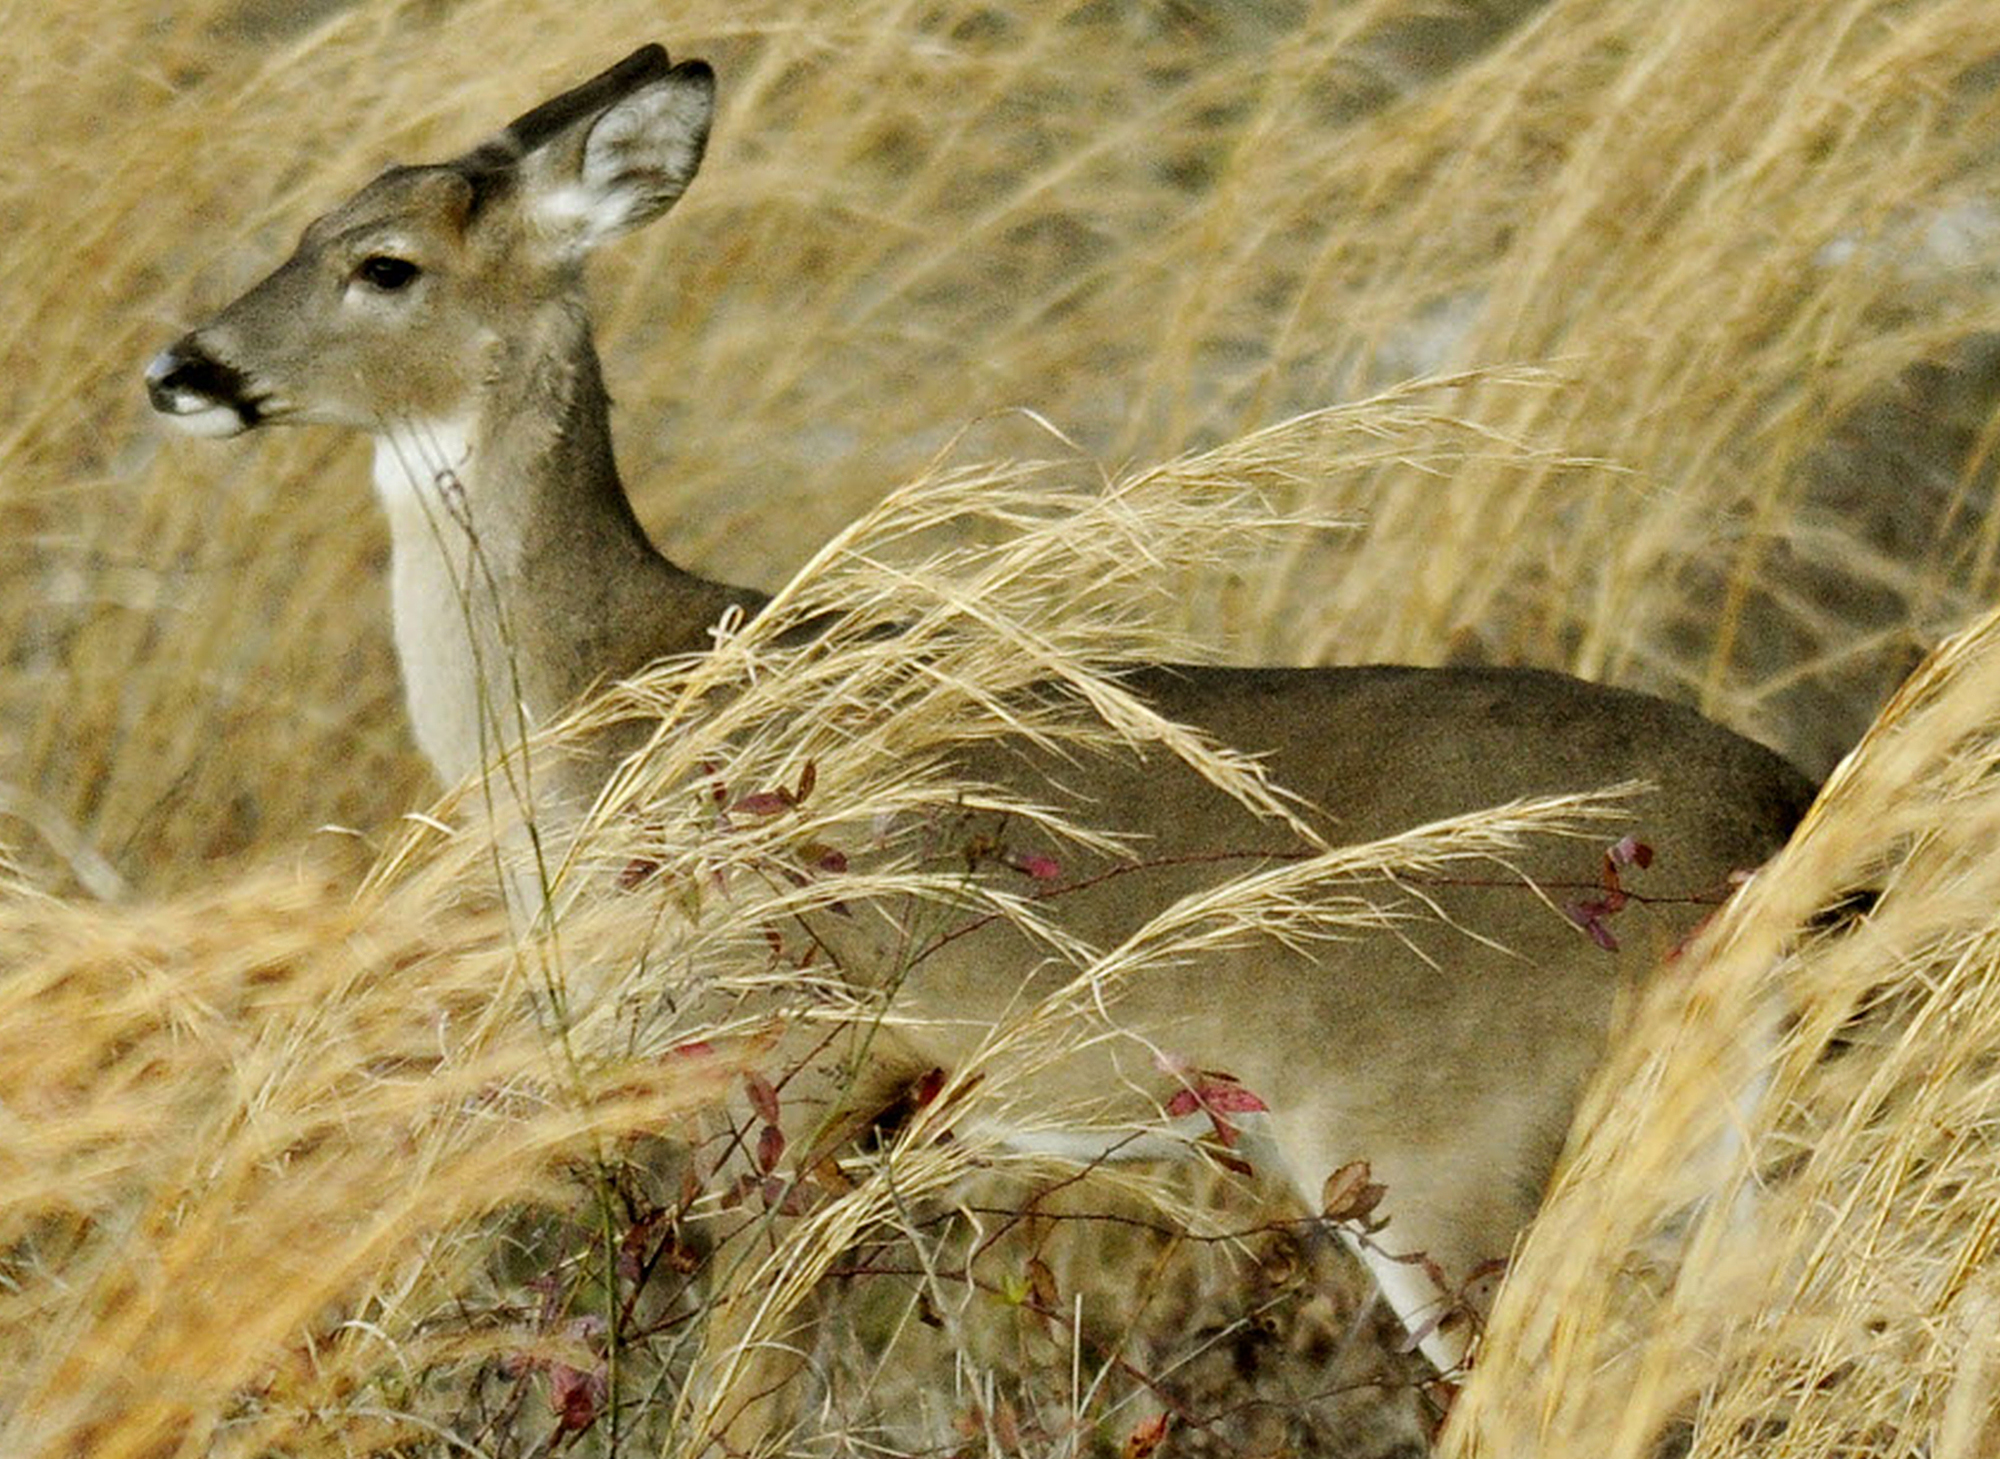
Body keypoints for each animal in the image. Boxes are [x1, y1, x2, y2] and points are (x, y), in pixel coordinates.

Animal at [146, 42, 1815, 1443]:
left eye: (384, 263)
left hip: (1451, 1141)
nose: (183, 369)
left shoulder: (808, 1059)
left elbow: (736, 1395)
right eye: (309, 220)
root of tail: (1781, 817)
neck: (612, 697)